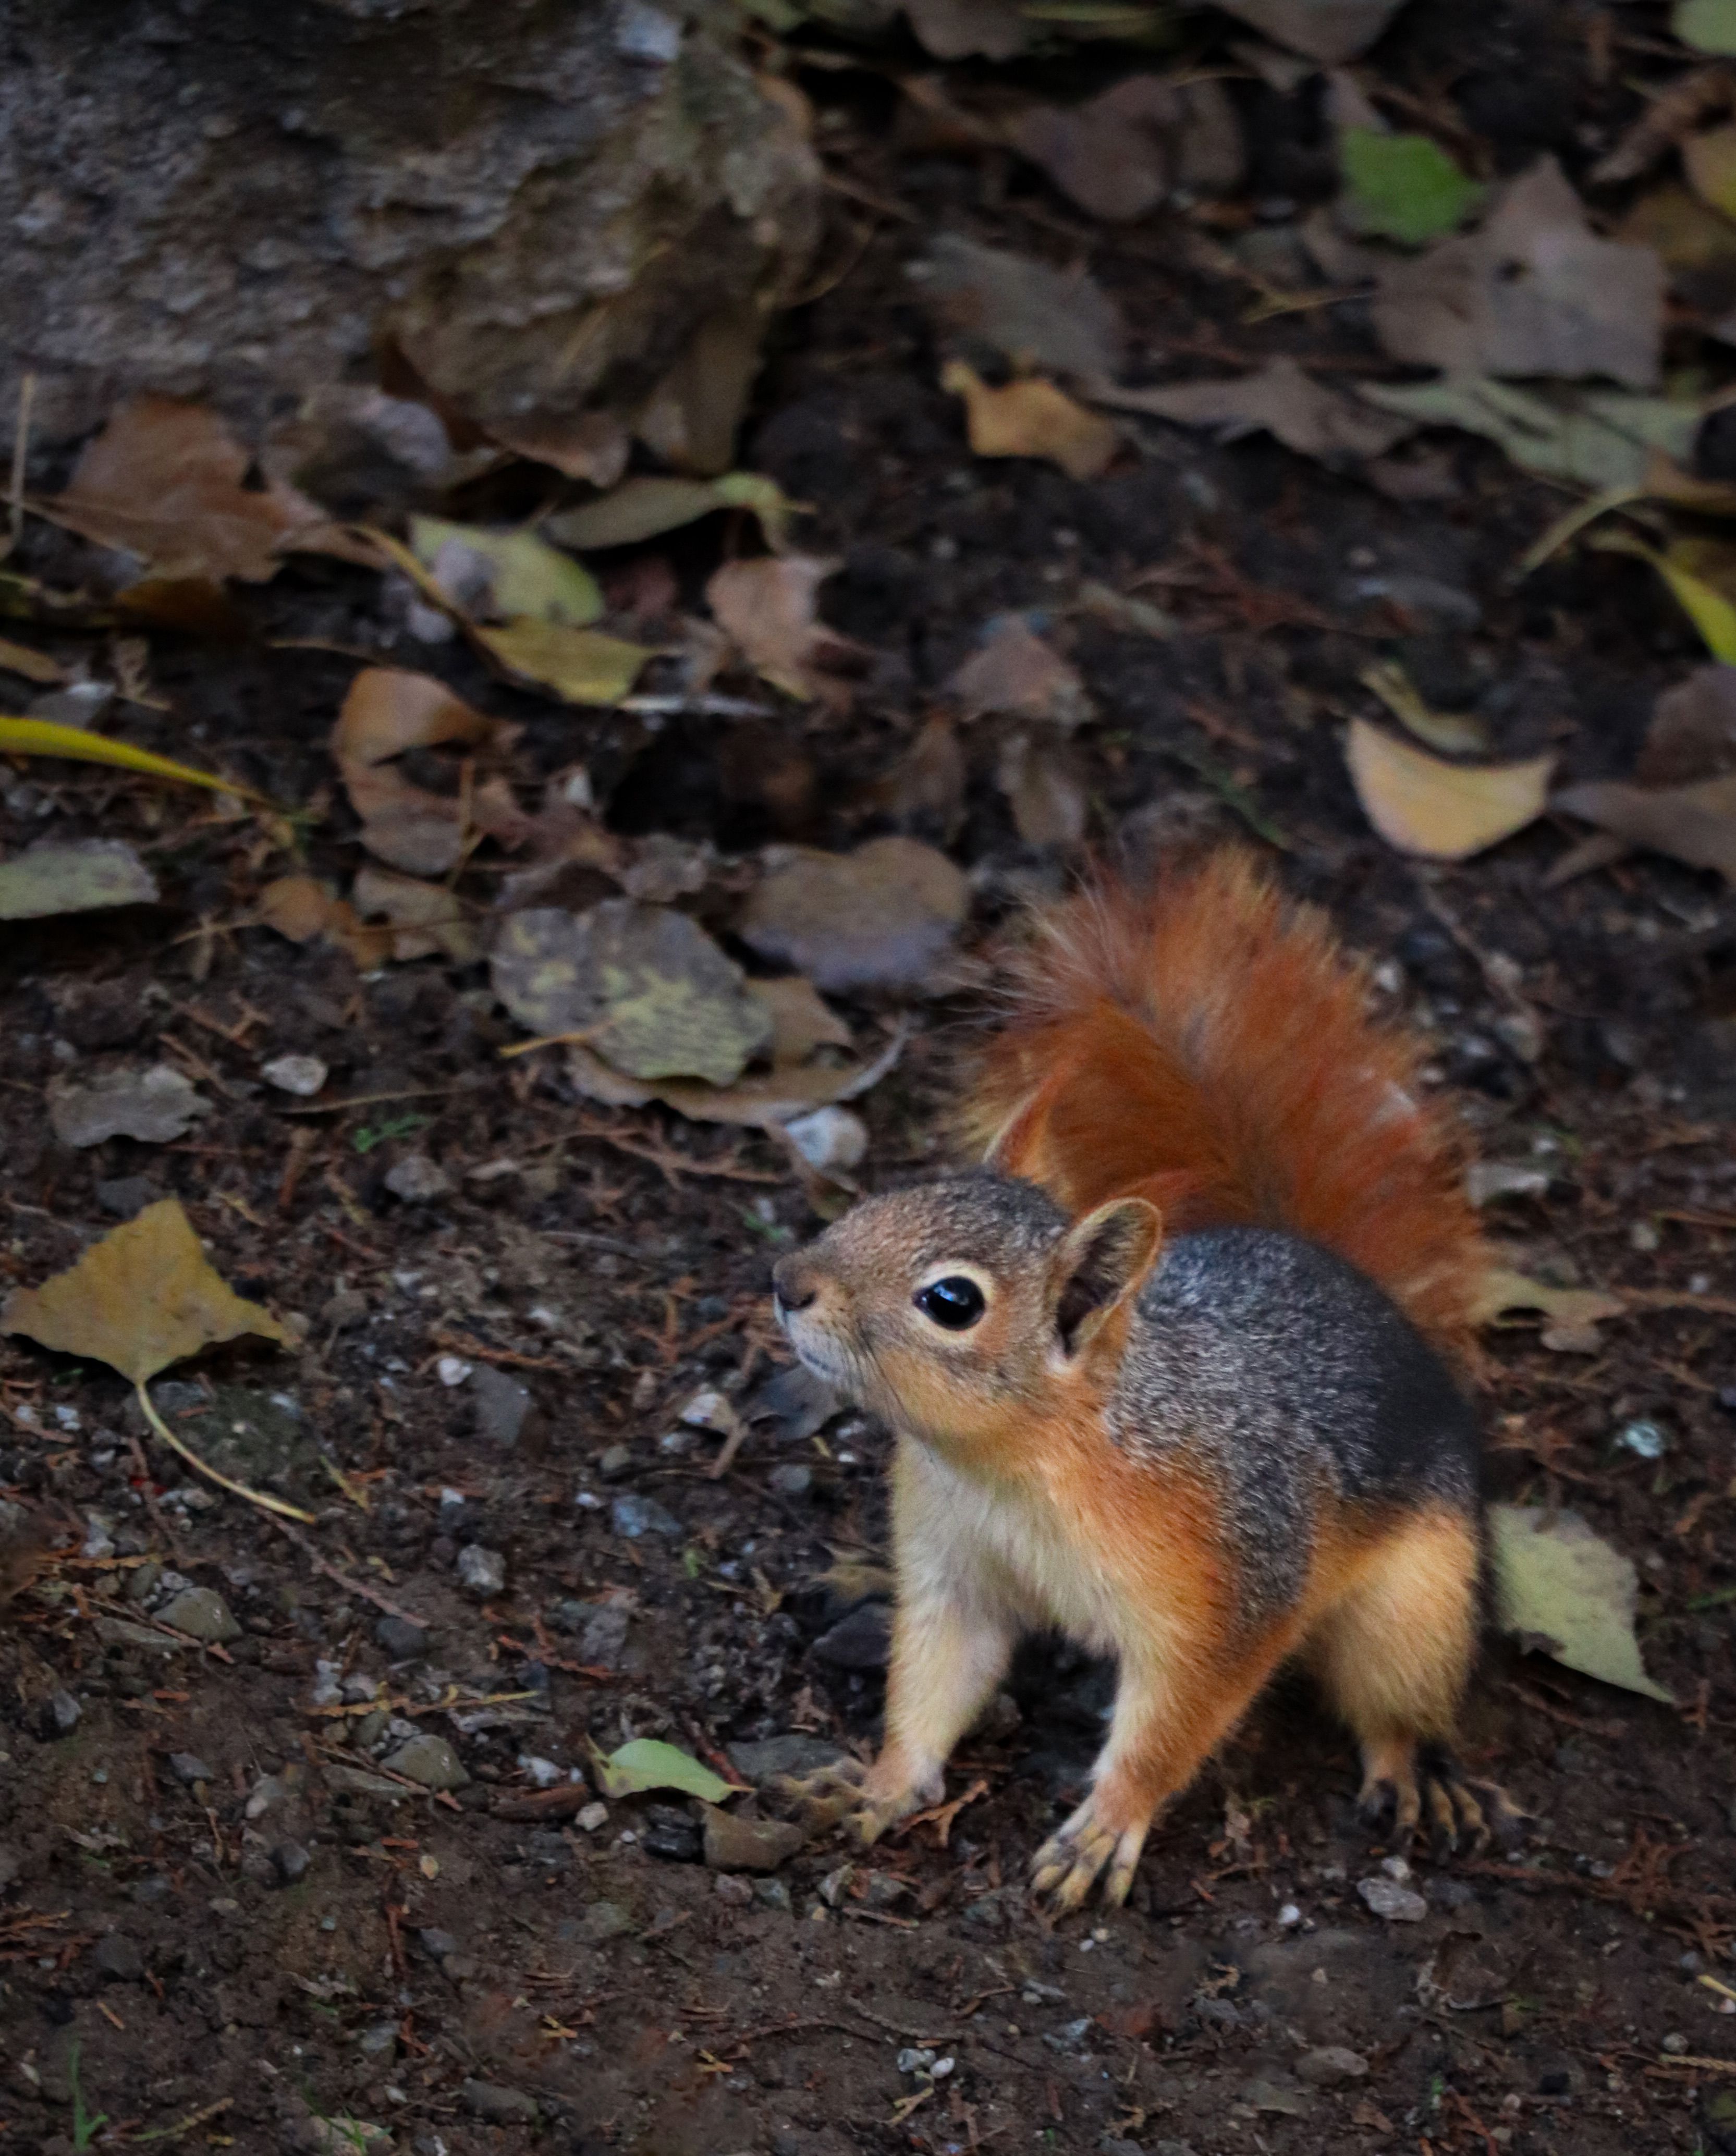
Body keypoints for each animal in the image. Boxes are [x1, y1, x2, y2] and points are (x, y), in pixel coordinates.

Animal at [771, 847, 1523, 1912]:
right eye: (884, 1197)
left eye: (952, 1301)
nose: (787, 1282)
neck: (1022, 1466)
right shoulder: (954, 1566)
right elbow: (933, 1679)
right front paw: (881, 1783)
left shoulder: (1229, 1590)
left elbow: (1174, 1725)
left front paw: (1105, 1827)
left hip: (1415, 1605)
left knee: (1395, 1699)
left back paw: (1412, 1769)